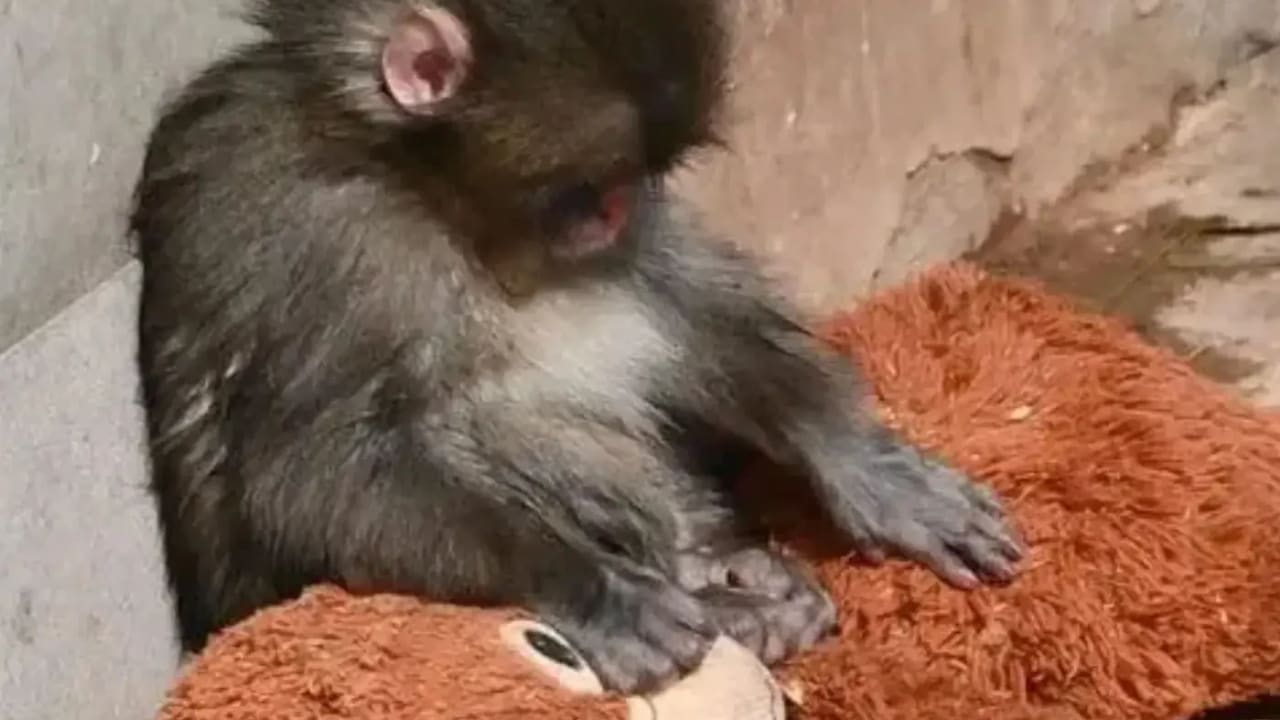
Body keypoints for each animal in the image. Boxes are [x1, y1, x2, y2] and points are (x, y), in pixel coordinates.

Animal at [130, 0, 1024, 694]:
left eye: (635, 181)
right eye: (583, 192)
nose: (621, 213)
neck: (419, 187)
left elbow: (673, 291)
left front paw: (861, 458)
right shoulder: (316, 234)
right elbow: (307, 473)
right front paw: (593, 589)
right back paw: (724, 595)